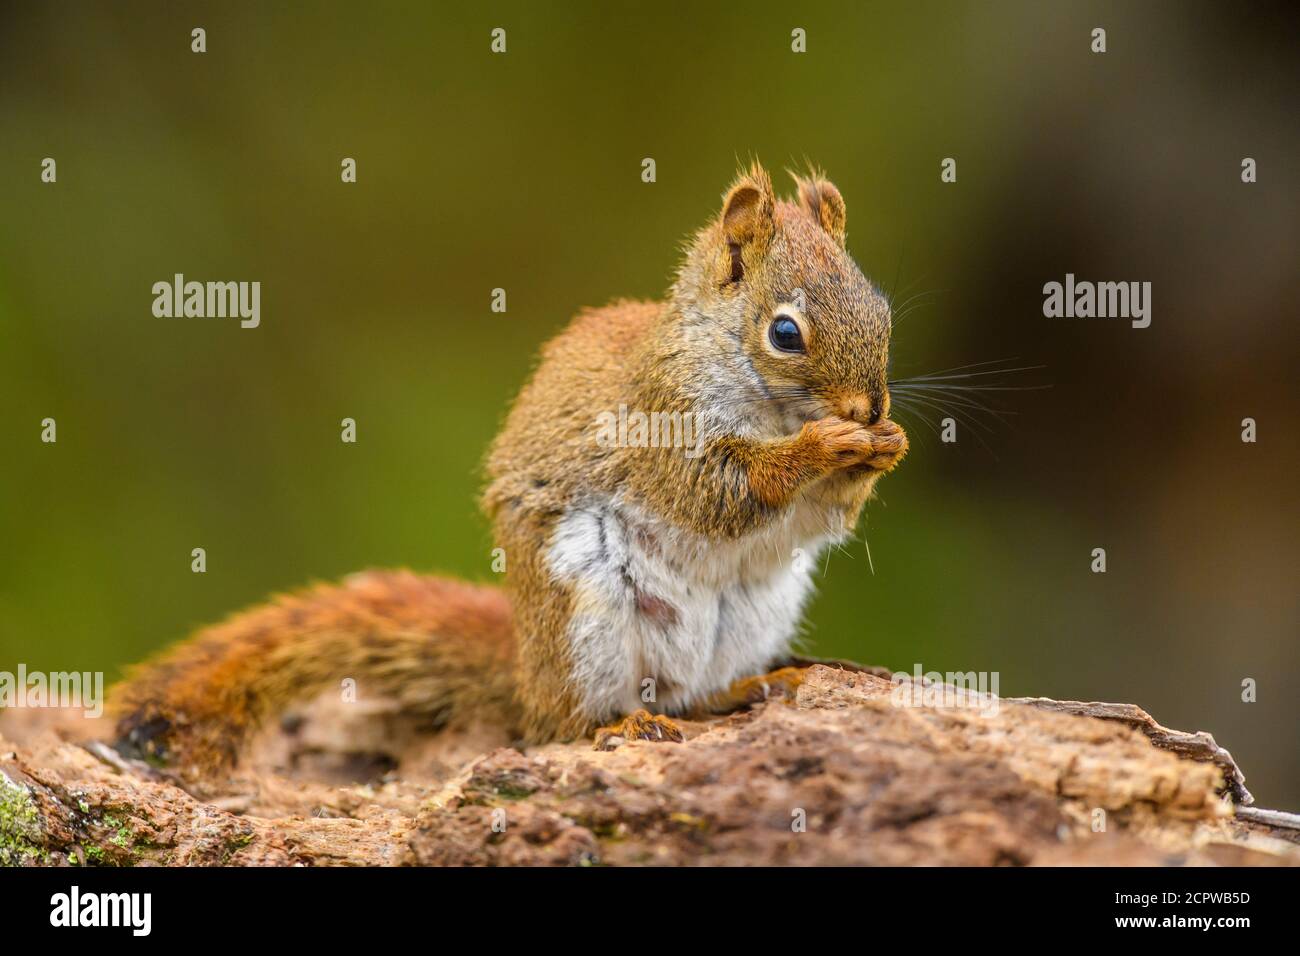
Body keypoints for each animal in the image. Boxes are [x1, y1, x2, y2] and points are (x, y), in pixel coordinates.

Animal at [110, 161, 908, 776]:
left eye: (882, 308)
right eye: (785, 333)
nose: (869, 407)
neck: (763, 400)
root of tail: (524, 668)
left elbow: (821, 516)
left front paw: (885, 447)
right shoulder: (656, 425)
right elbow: (719, 490)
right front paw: (824, 448)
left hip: (754, 612)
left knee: (689, 693)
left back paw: (745, 690)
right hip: (583, 619)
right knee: (568, 723)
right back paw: (619, 725)